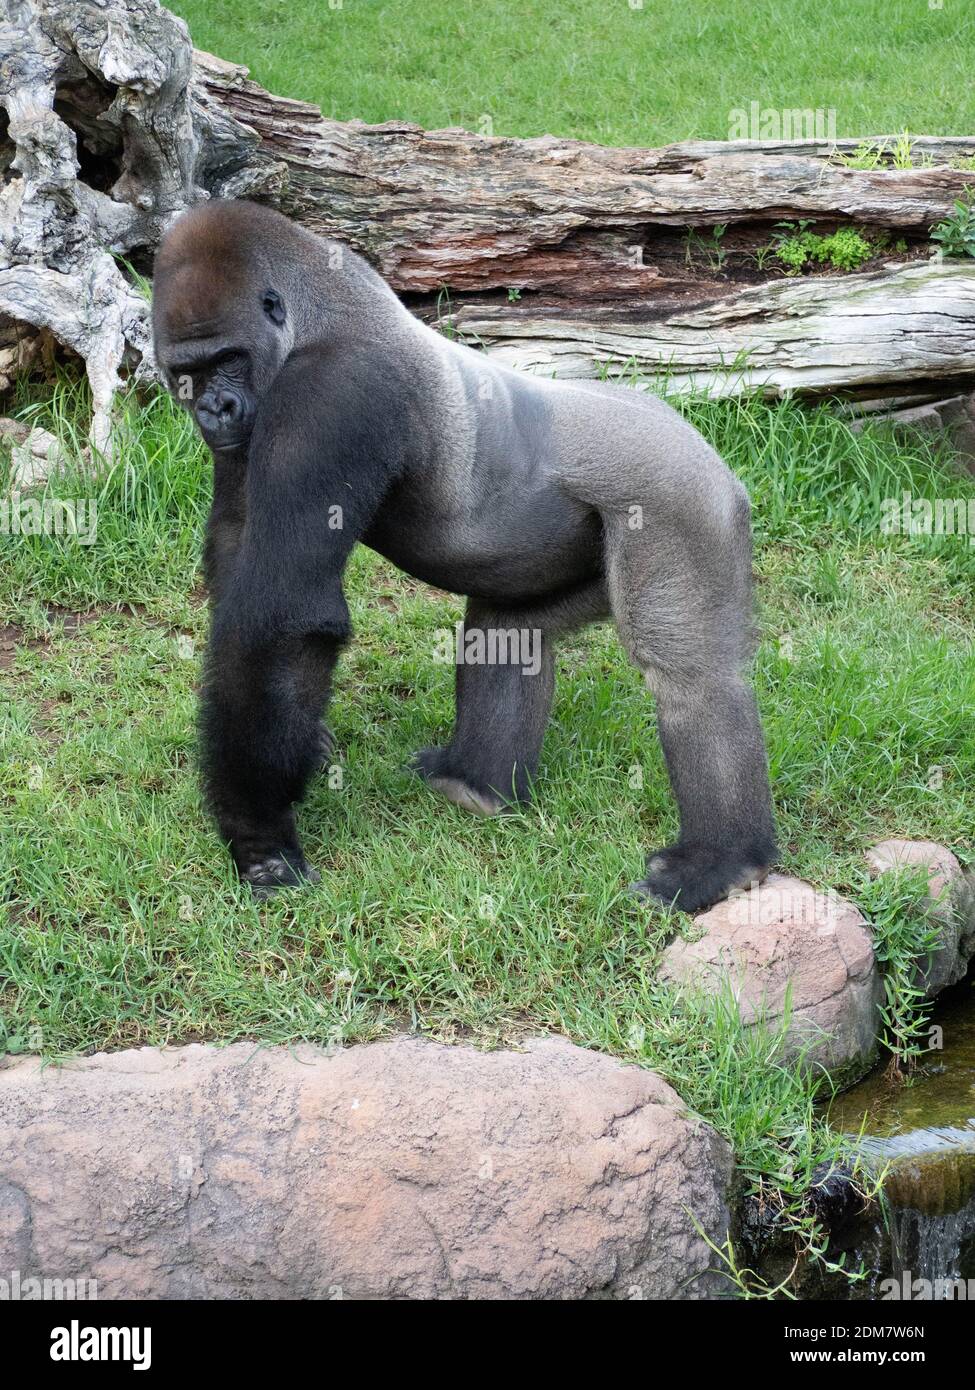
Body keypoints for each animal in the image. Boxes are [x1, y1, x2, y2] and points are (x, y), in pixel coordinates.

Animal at [152, 199, 777, 911]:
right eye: (187, 371)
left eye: (228, 357)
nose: (214, 407)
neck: (320, 312)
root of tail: (694, 438)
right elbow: (237, 555)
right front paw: (299, 751)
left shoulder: (333, 392)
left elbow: (285, 613)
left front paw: (258, 834)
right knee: (509, 630)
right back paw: (476, 784)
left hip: (682, 496)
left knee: (690, 674)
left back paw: (724, 859)